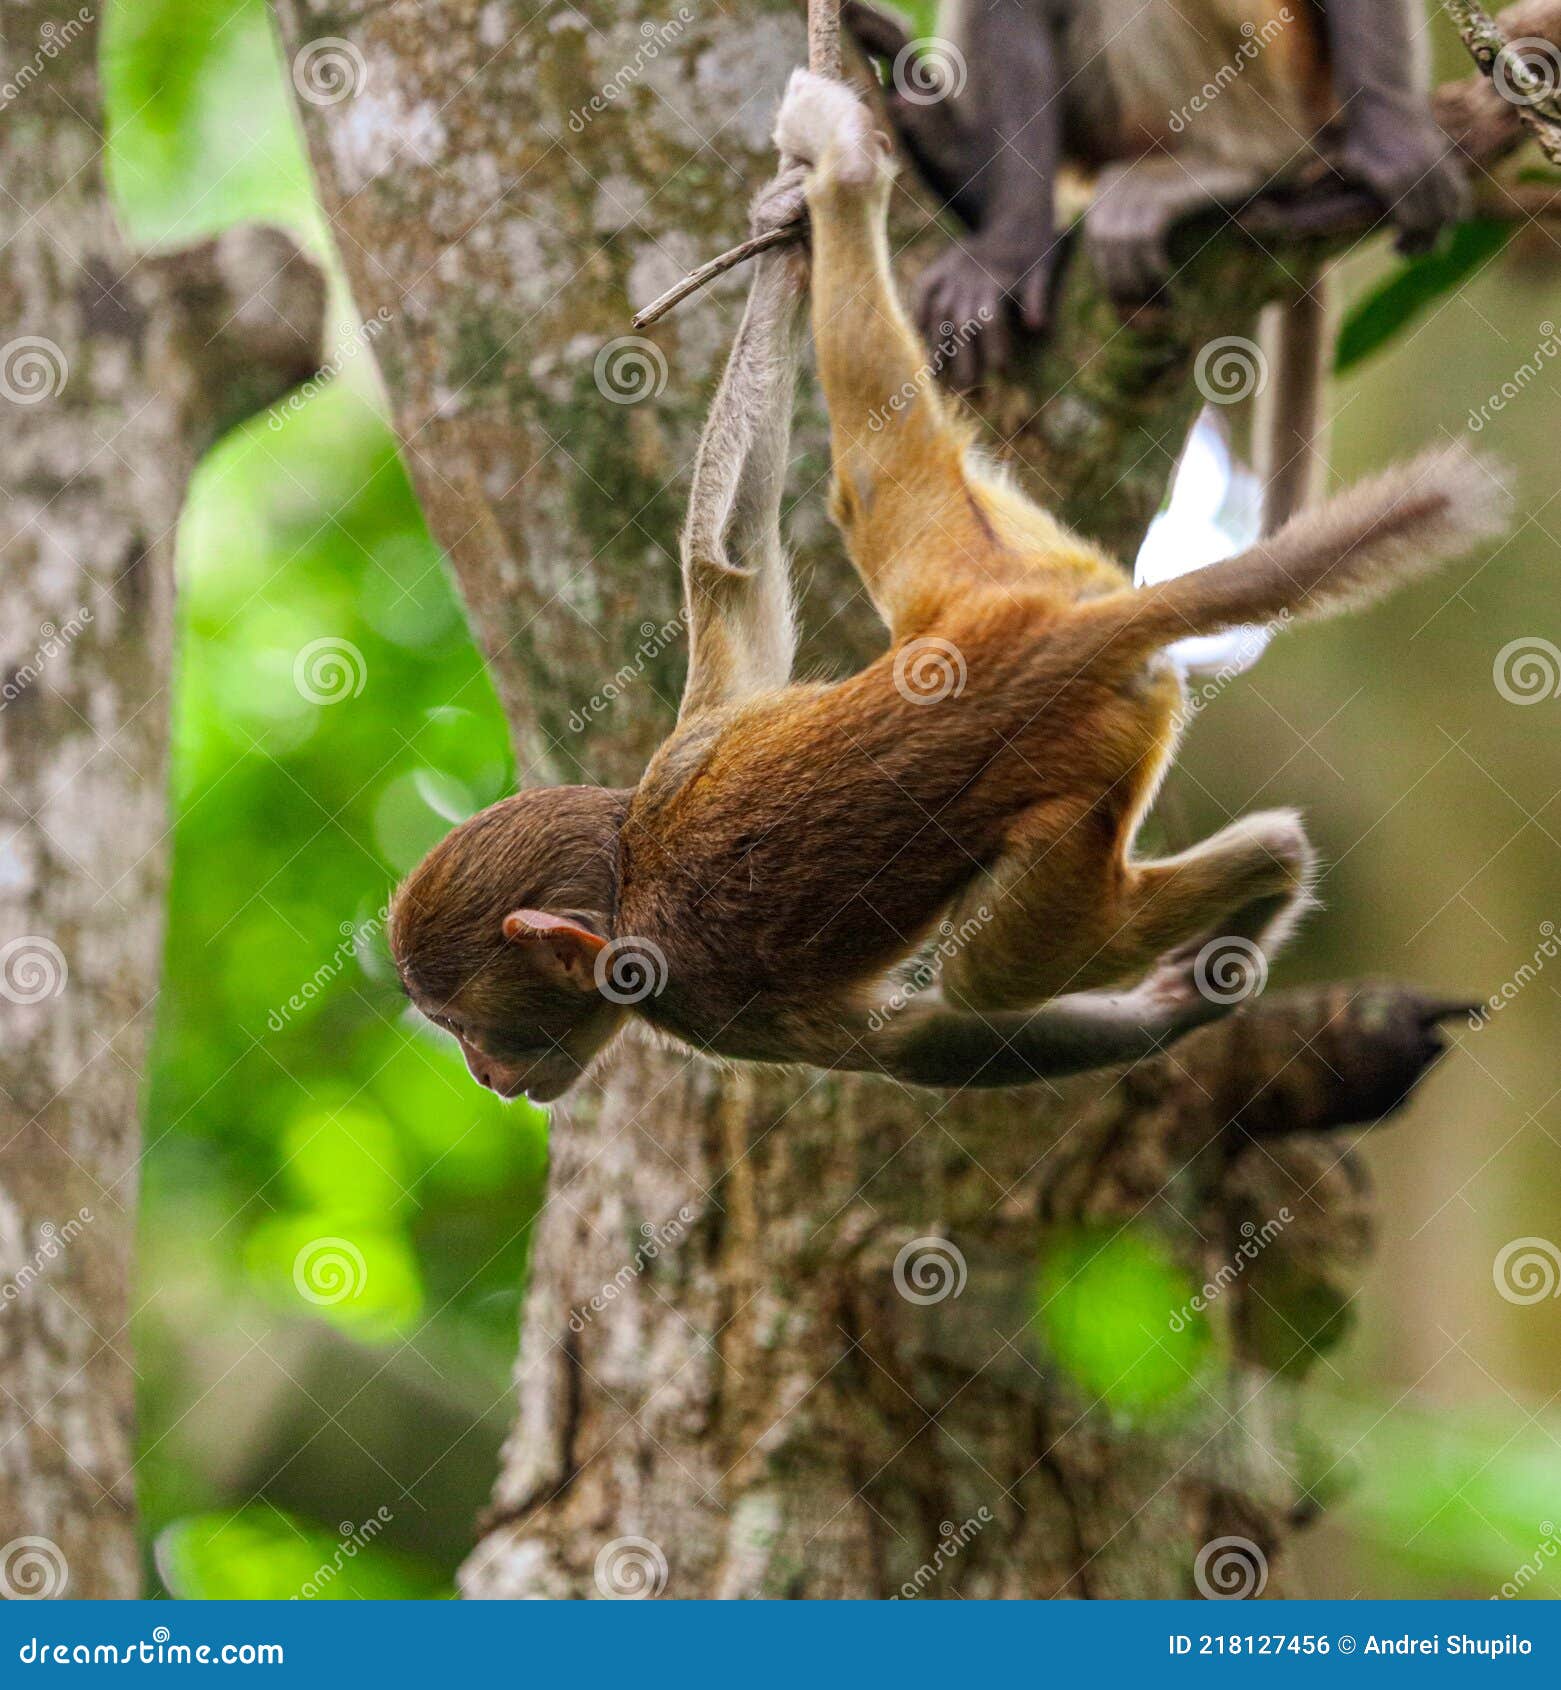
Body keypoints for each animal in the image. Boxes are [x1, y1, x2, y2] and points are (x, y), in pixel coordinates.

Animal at [389, 71, 1506, 1108]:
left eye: (473, 1025)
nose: (487, 1073)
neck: (631, 864)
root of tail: (1068, 636)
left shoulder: (707, 1005)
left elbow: (911, 1045)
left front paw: (1174, 1011)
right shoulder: (686, 749)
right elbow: (728, 560)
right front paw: (776, 231)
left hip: (1074, 792)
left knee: (990, 975)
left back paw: (1265, 874)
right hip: (977, 565)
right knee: (875, 472)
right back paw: (837, 182)